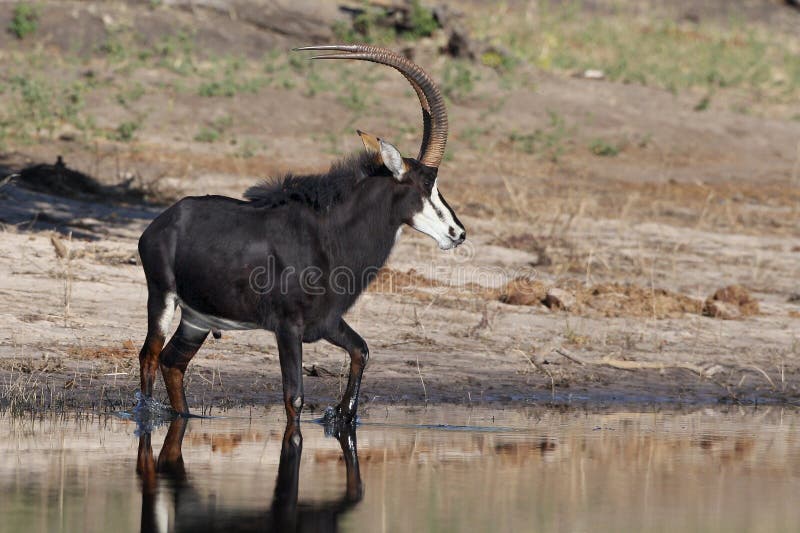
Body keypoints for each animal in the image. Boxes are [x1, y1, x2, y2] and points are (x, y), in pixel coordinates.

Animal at [137, 44, 465, 425]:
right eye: (426, 185)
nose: (458, 233)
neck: (328, 236)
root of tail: (162, 222)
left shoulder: (326, 323)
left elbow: (362, 352)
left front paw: (340, 415)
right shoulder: (288, 328)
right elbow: (294, 397)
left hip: (197, 319)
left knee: (173, 363)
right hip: (162, 298)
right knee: (149, 355)